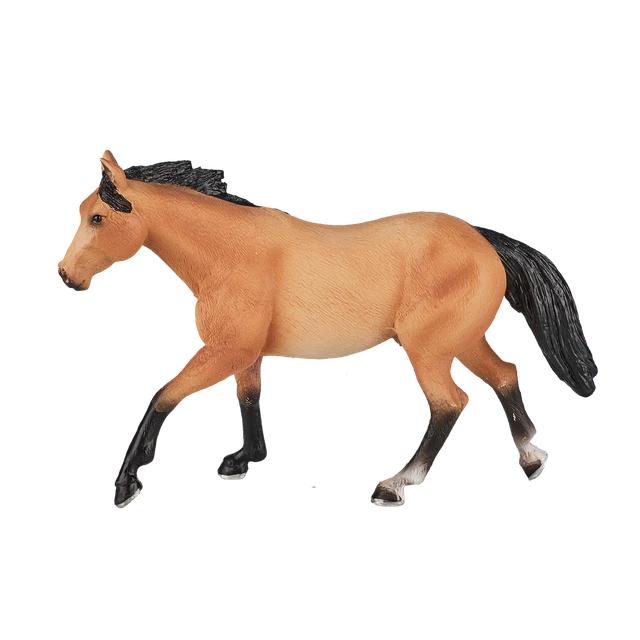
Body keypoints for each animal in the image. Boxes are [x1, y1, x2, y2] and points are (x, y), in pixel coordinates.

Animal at [56, 149, 599, 510]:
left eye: (98, 217)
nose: (65, 279)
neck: (230, 253)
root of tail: (483, 238)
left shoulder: (223, 350)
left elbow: (164, 396)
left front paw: (126, 486)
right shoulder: (245, 355)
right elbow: (248, 400)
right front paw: (243, 462)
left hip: (428, 348)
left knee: (451, 403)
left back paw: (395, 483)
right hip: (460, 341)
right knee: (505, 376)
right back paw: (531, 460)